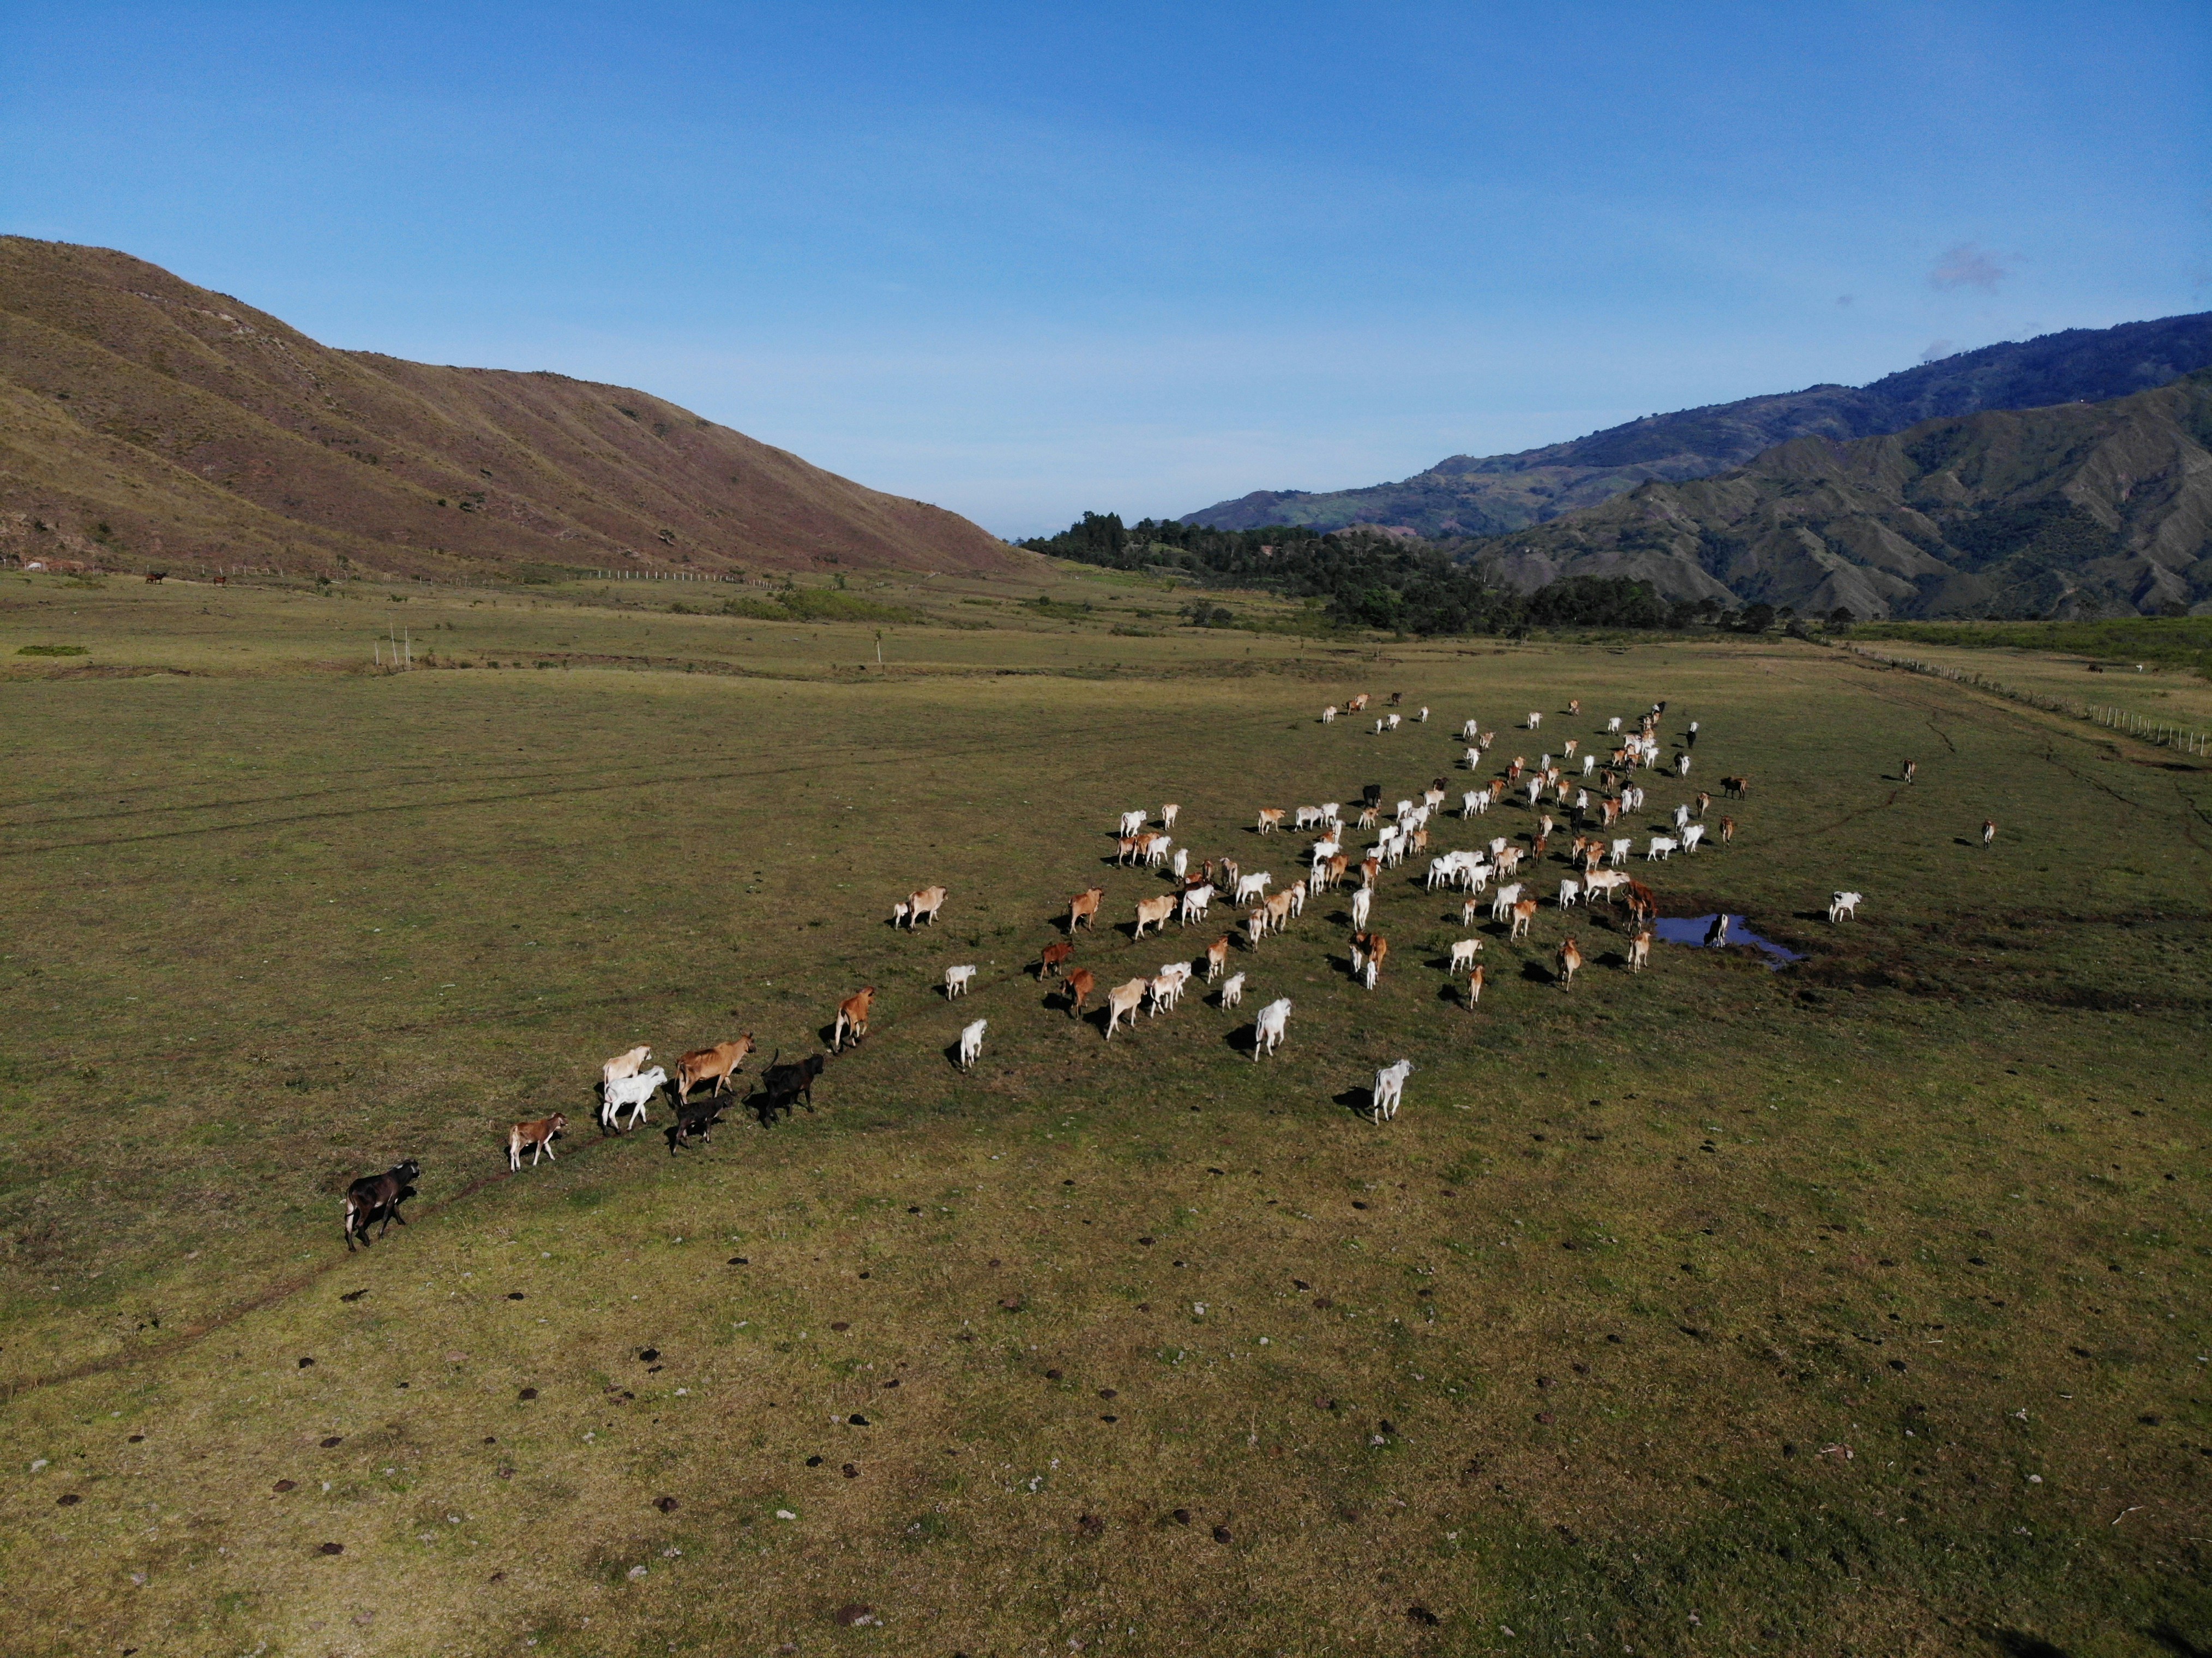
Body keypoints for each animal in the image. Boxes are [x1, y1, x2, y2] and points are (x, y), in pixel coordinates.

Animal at [342, 1160, 421, 1250]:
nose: (419, 1175)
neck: (397, 1178)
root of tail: (352, 1187)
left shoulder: (394, 1199)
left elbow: (397, 1211)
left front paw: (402, 1223)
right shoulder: (391, 1199)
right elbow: (385, 1217)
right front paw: (380, 1235)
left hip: (350, 1208)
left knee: (348, 1227)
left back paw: (352, 1248)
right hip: (366, 1208)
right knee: (359, 1225)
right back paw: (367, 1242)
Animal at [675, 1037, 756, 1106]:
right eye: (752, 1042)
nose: (755, 1050)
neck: (733, 1050)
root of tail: (682, 1059)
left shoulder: (726, 1072)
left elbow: (729, 1082)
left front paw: (734, 1093)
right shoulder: (723, 1073)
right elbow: (718, 1086)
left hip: (682, 1078)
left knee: (679, 1091)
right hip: (692, 1080)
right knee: (683, 1092)